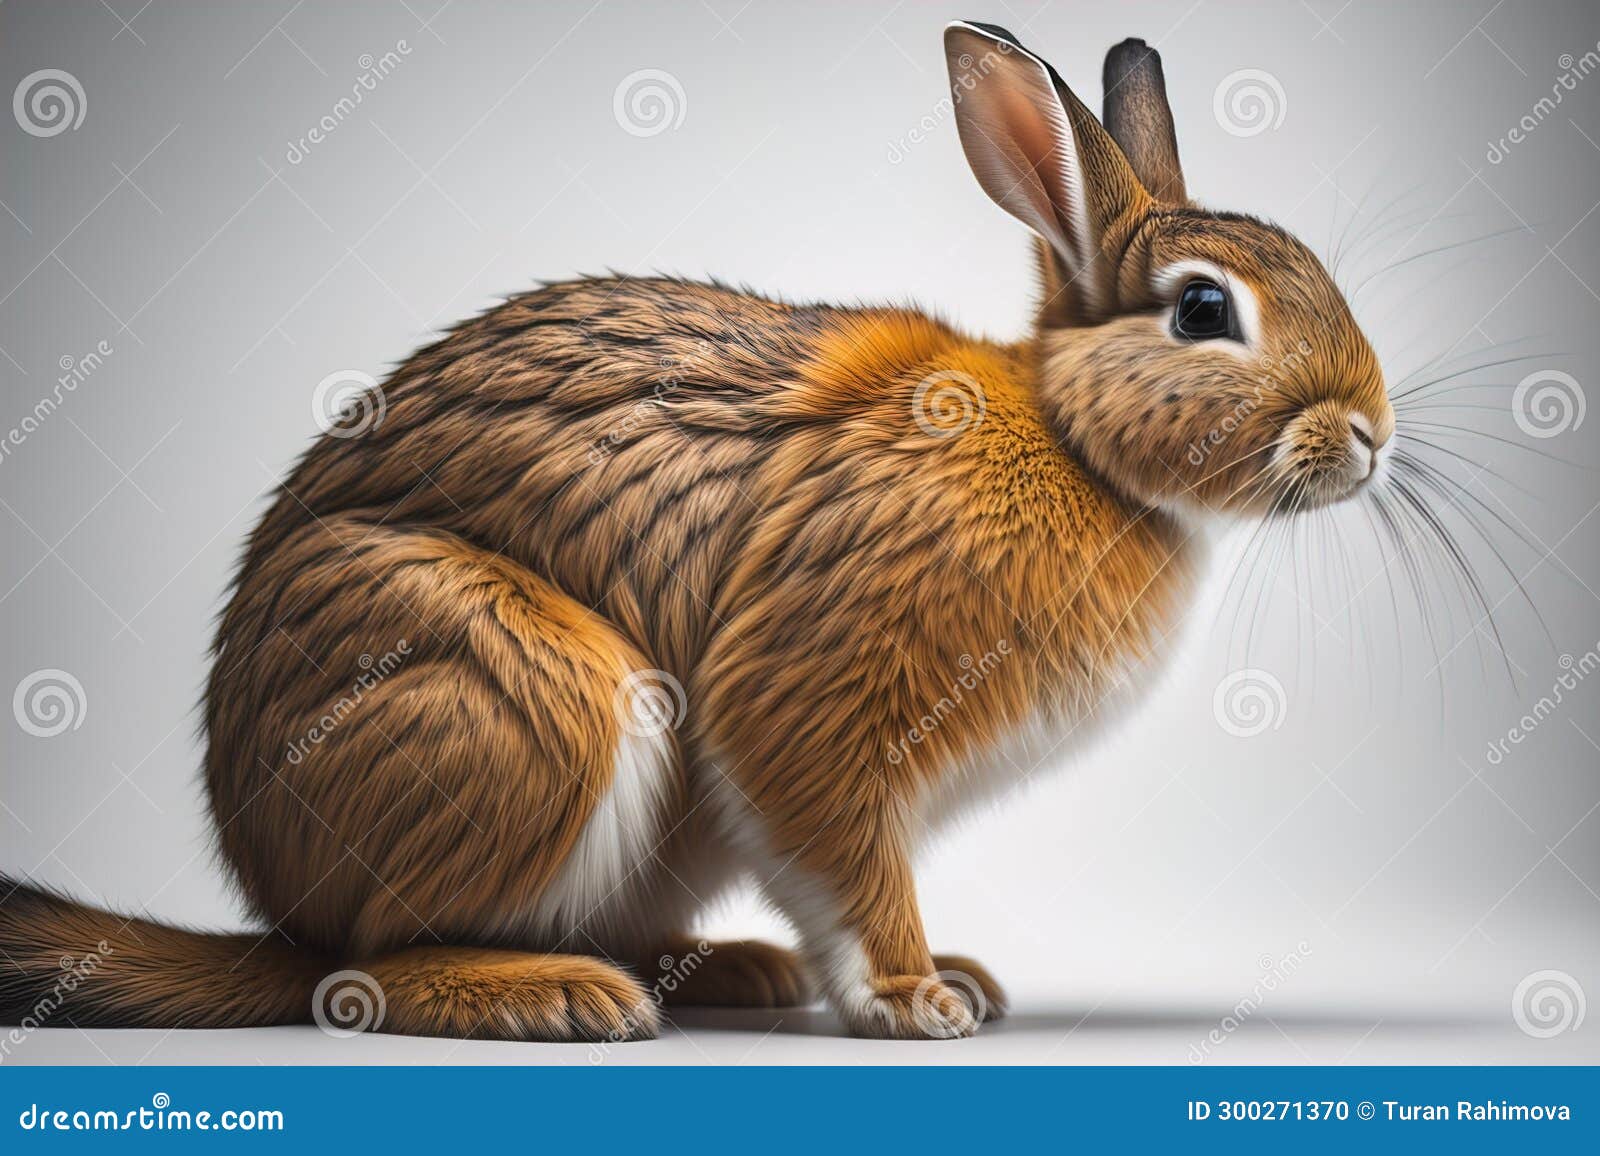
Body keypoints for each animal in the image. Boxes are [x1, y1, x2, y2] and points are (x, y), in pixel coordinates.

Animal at [0, 21, 1392, 1042]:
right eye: (1203, 311)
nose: (1373, 432)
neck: (1068, 437)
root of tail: (268, 885)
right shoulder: (807, 701)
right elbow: (845, 859)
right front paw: (915, 998)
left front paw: (952, 979)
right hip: (521, 699)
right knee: (362, 970)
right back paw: (555, 997)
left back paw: (725, 971)